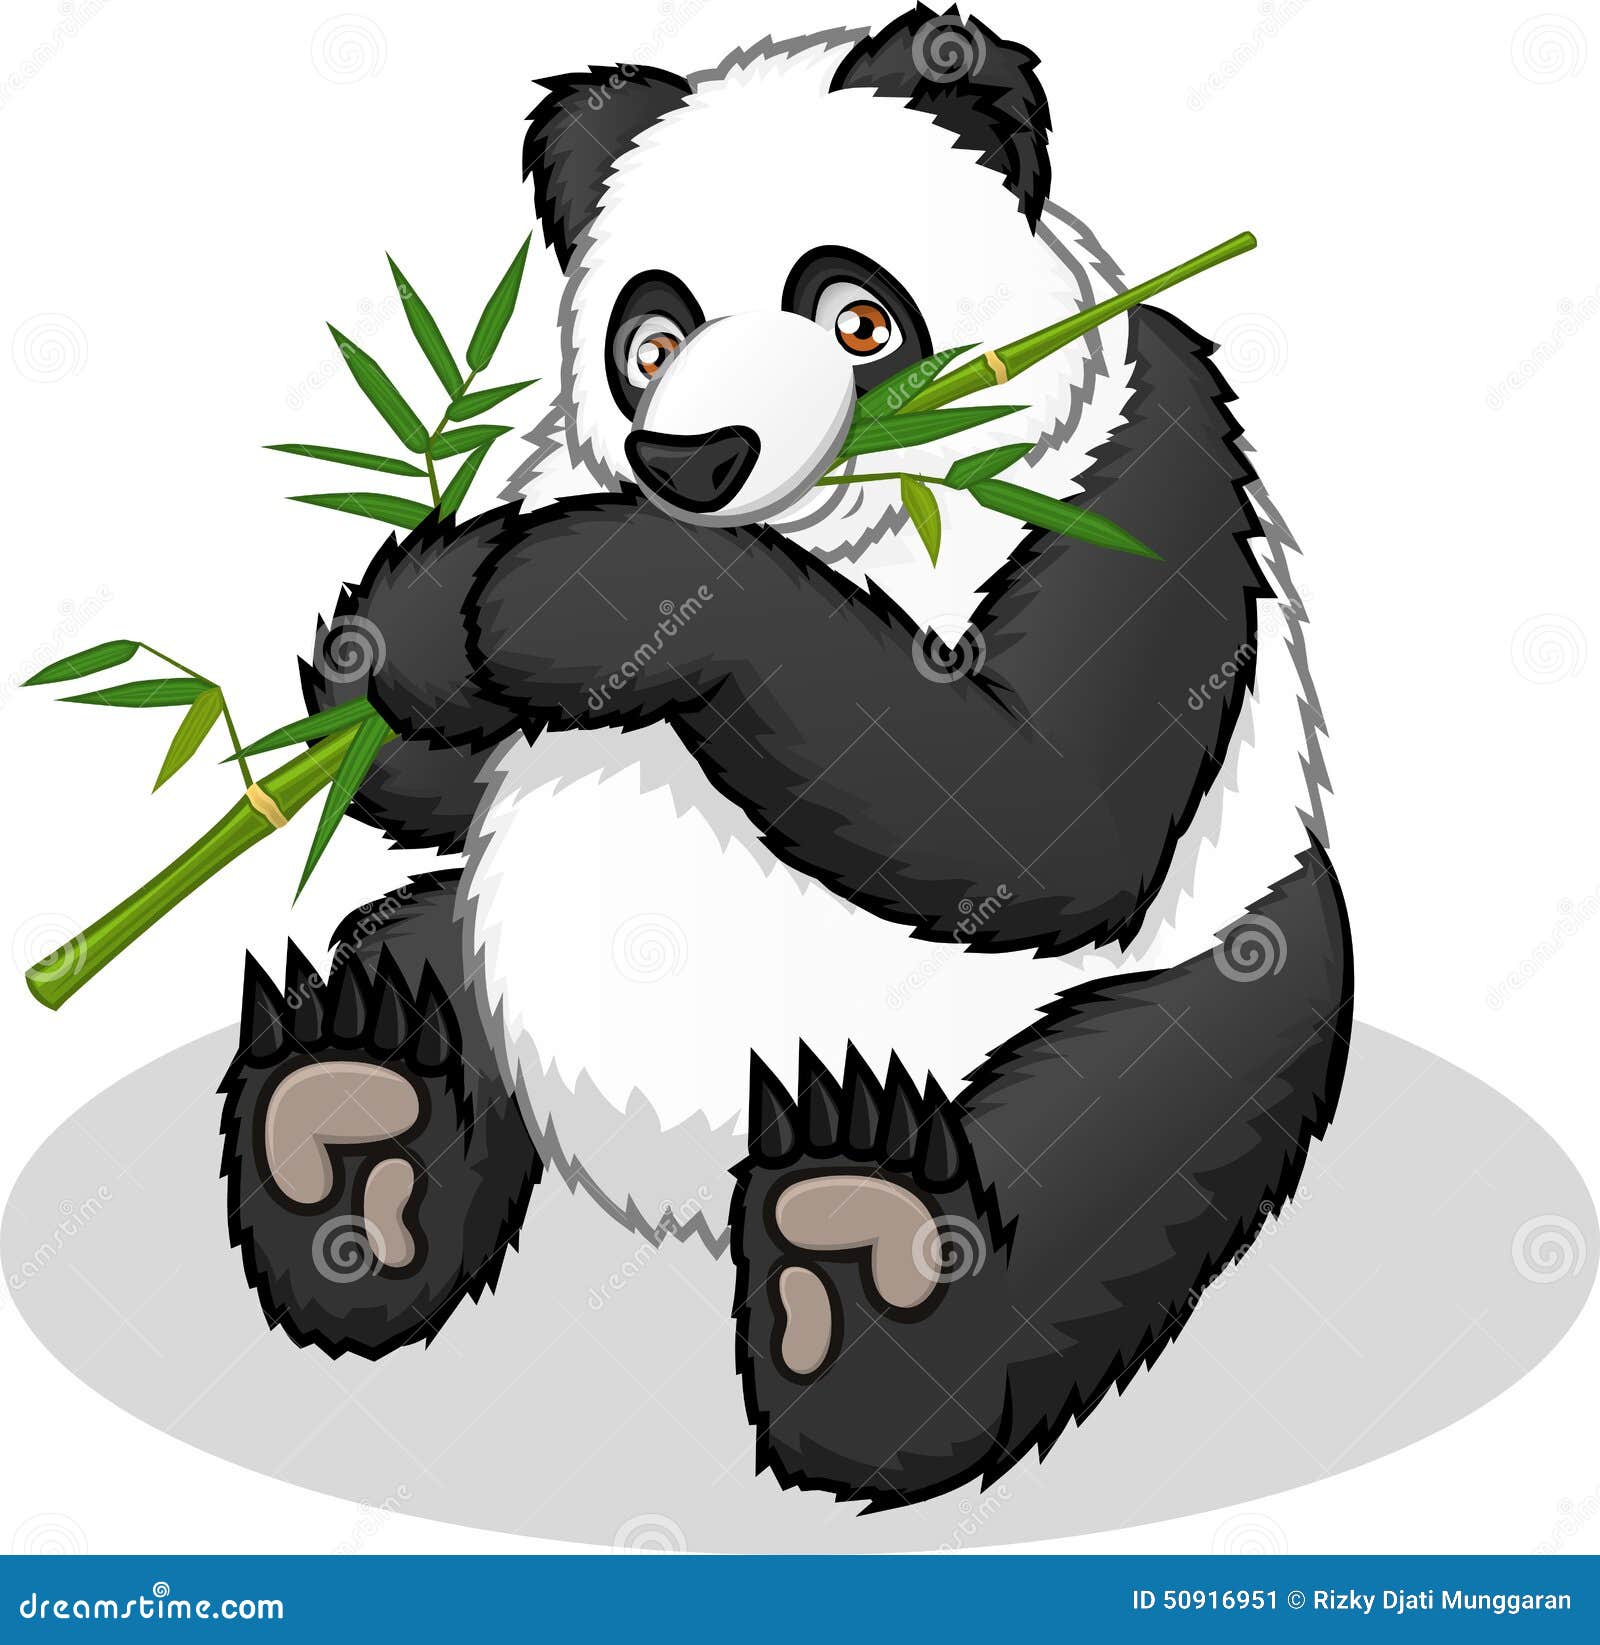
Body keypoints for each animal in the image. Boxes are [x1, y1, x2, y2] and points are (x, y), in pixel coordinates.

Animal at [220, 6, 1353, 1508]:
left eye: (855, 315)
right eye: (650, 337)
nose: (692, 459)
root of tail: (676, 1190)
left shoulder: (1137, 461)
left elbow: (1040, 811)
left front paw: (585, 597)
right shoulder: (543, 484)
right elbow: (431, 777)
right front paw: (416, 632)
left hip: (1215, 963)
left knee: (1123, 1141)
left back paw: (864, 1263)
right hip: (492, 954)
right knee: (416, 954)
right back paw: (352, 1123)